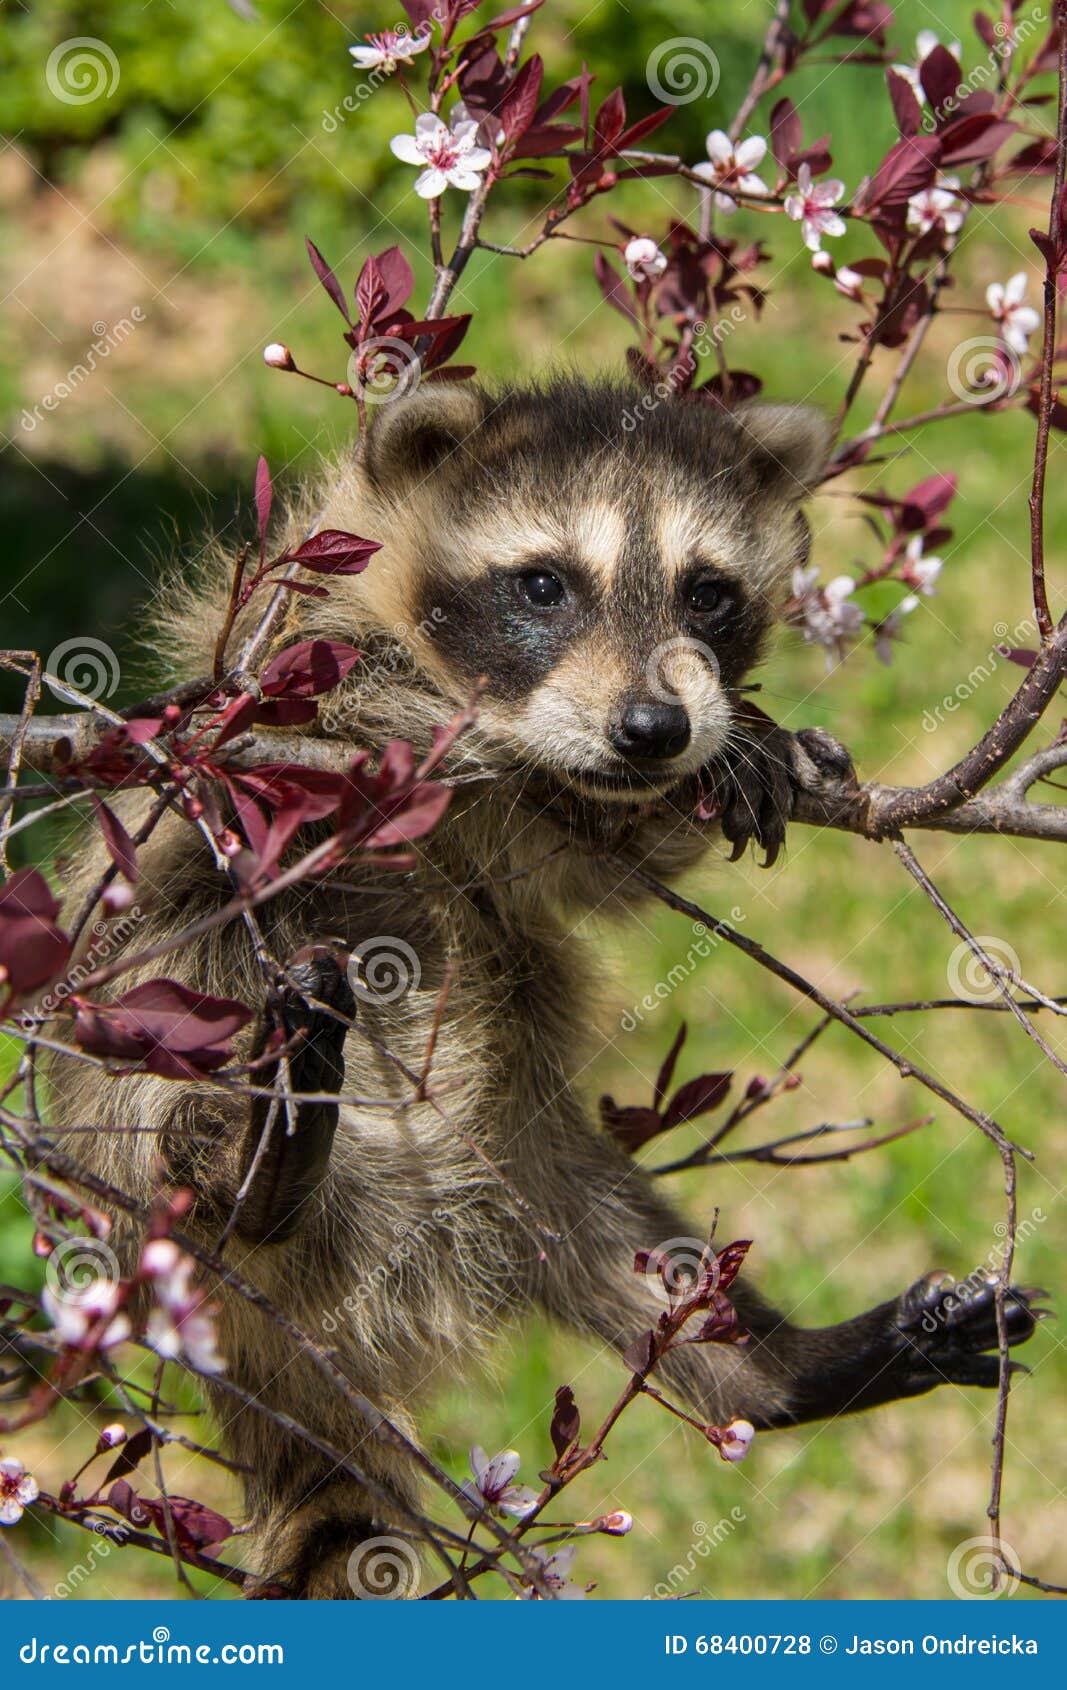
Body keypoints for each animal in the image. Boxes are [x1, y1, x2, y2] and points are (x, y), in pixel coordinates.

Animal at [49, 377, 1041, 1598]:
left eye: (706, 593)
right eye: (541, 584)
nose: (653, 729)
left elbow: (593, 859)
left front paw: (740, 745)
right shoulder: (270, 666)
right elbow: (331, 707)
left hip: (519, 1145)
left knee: (628, 1248)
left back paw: (786, 1369)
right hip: (147, 1046)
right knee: (170, 1088)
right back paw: (256, 1164)